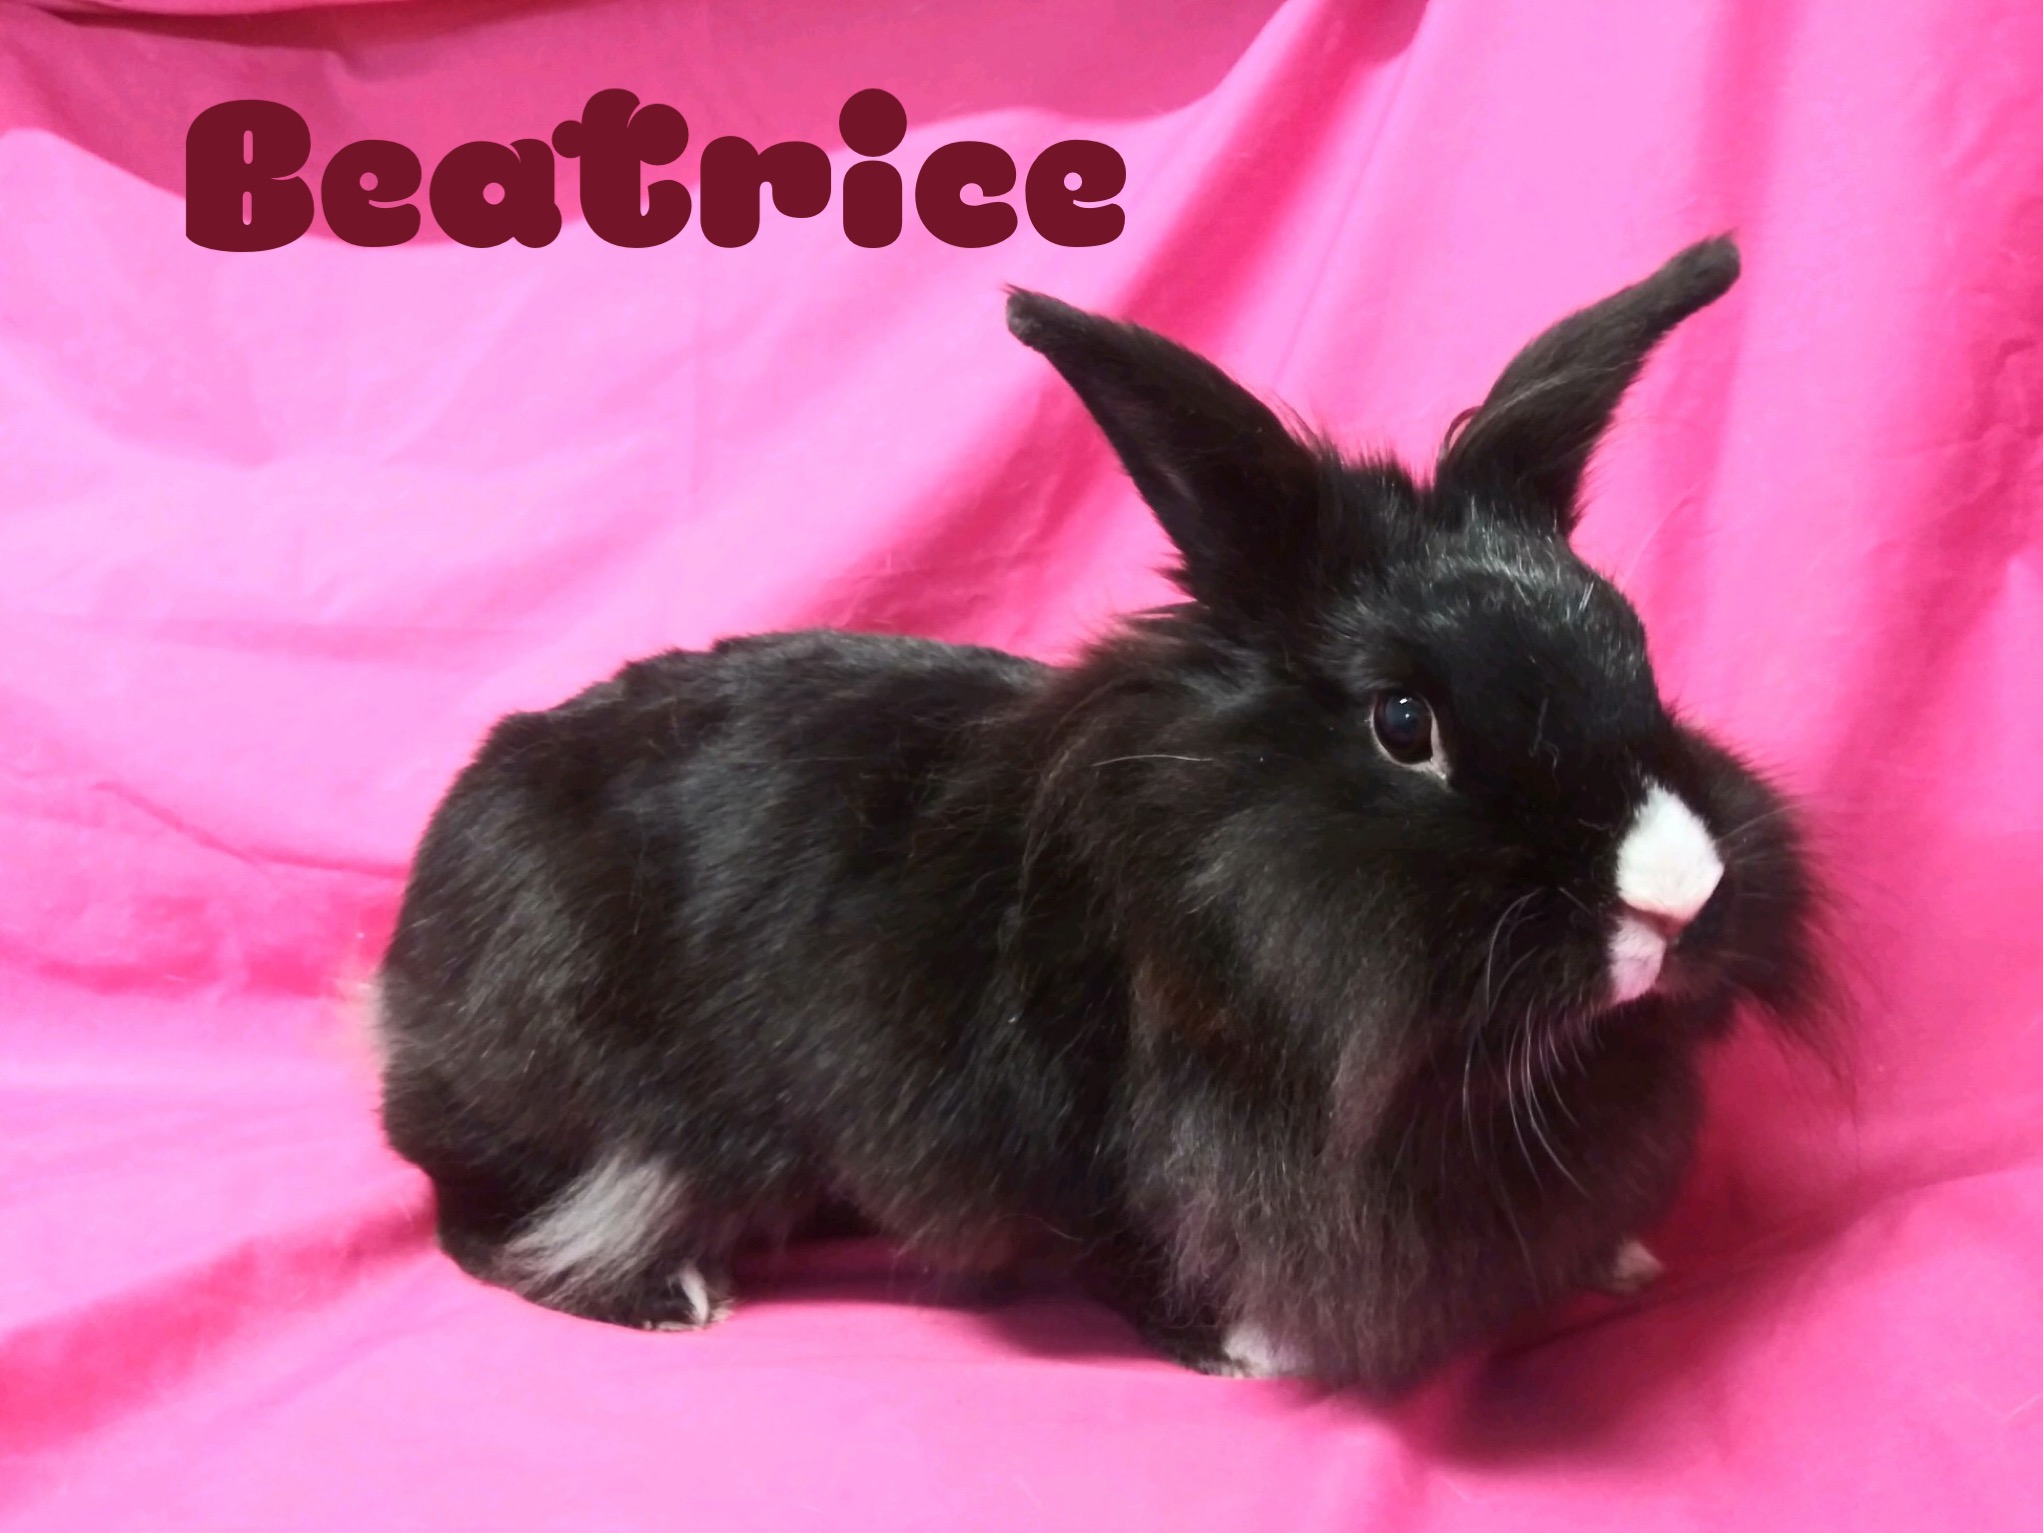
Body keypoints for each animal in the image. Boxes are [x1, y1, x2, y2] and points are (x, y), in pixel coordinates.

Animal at [373, 236, 1824, 1392]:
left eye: (1636, 653)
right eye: (1403, 724)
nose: (1677, 893)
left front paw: (1621, 1259)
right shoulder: (1075, 1134)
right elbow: (1130, 1245)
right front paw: (1249, 1342)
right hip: (545, 1082)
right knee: (473, 1207)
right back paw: (662, 1290)